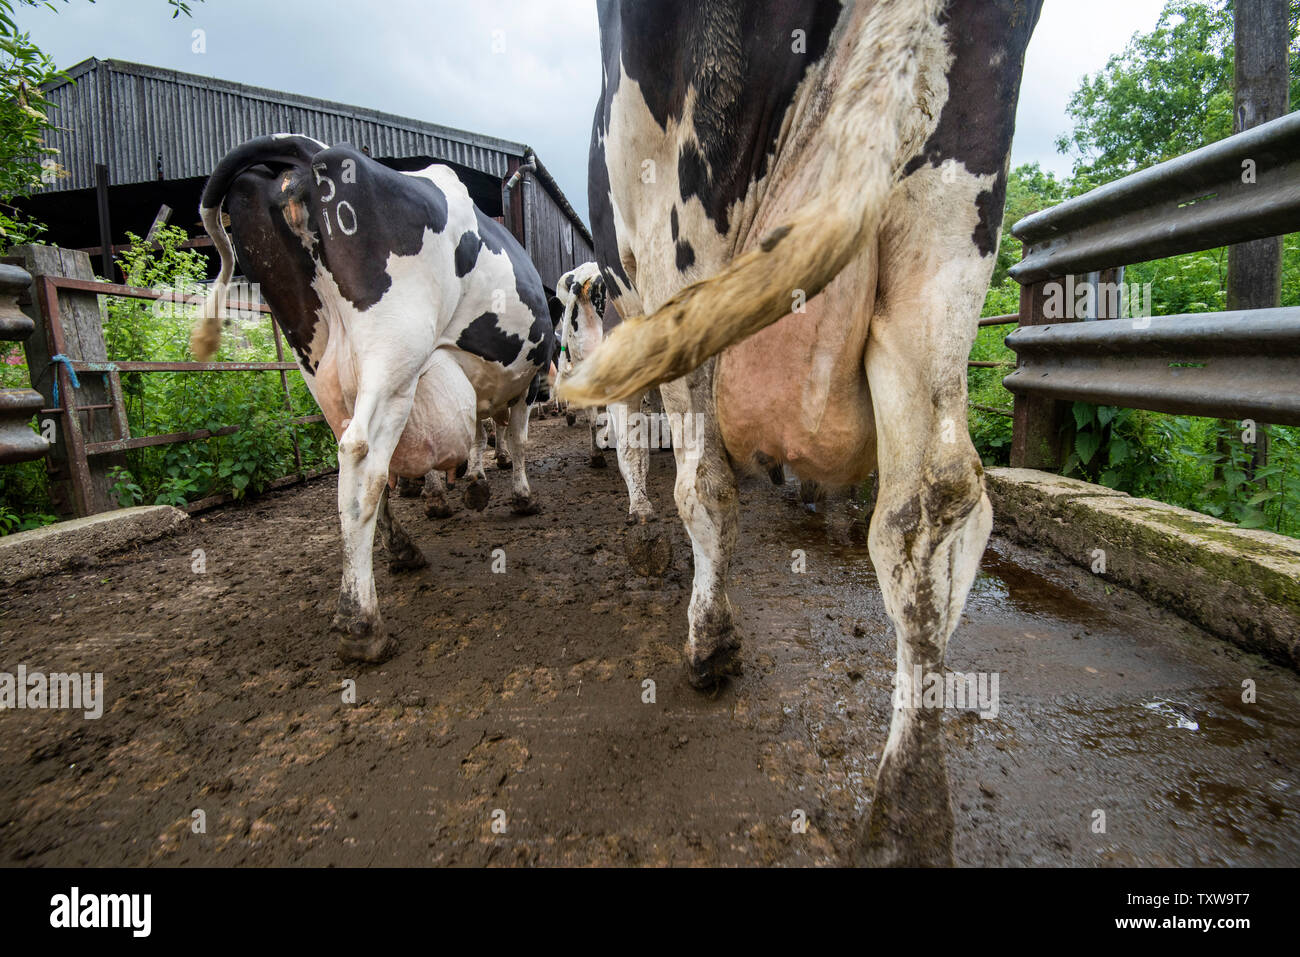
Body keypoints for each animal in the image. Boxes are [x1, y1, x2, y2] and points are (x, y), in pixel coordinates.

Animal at [191, 134, 554, 664]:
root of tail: (308, 153)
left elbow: (476, 435)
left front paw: (475, 486)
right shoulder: (521, 386)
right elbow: (515, 440)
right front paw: (521, 496)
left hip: (323, 369)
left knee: (356, 465)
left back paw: (401, 551)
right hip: (393, 354)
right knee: (362, 462)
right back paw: (361, 623)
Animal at [559, 0, 1043, 865]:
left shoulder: (626, 316)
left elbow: (635, 440)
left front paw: (643, 537)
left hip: (683, 231)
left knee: (706, 486)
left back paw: (709, 642)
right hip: (945, 231)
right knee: (934, 503)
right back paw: (908, 812)